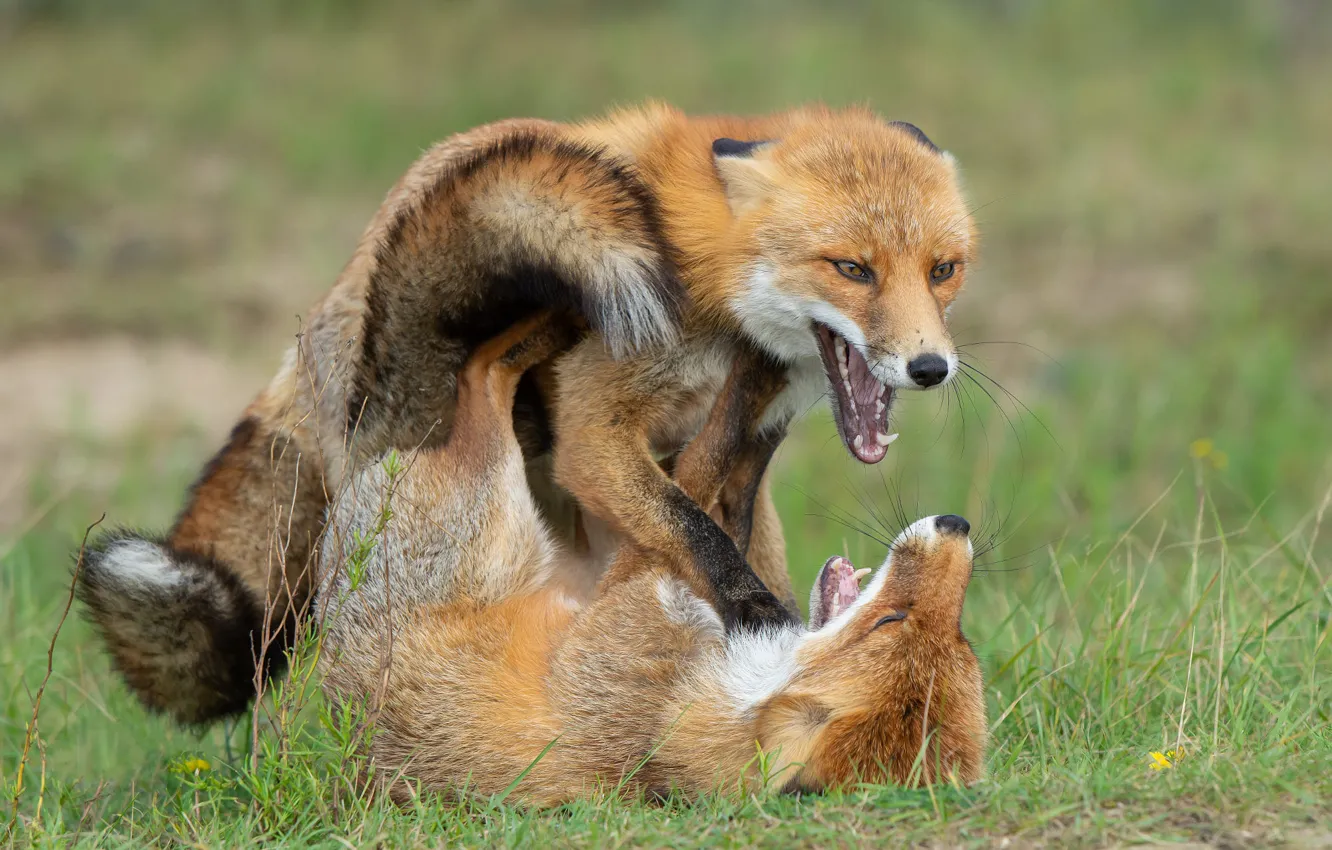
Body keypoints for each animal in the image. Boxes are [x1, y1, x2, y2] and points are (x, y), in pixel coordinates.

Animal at [76, 102, 978, 725]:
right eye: (852, 268)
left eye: (942, 269)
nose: (930, 368)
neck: (712, 290)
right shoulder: (596, 425)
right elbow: (695, 530)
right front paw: (756, 619)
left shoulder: (749, 438)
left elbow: (720, 524)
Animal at [317, 317, 986, 803]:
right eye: (967, 645)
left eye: (893, 621)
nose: (956, 526)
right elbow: (712, 495)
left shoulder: (625, 612)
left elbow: (702, 464)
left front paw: (752, 377)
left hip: (495, 507)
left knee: (486, 373)